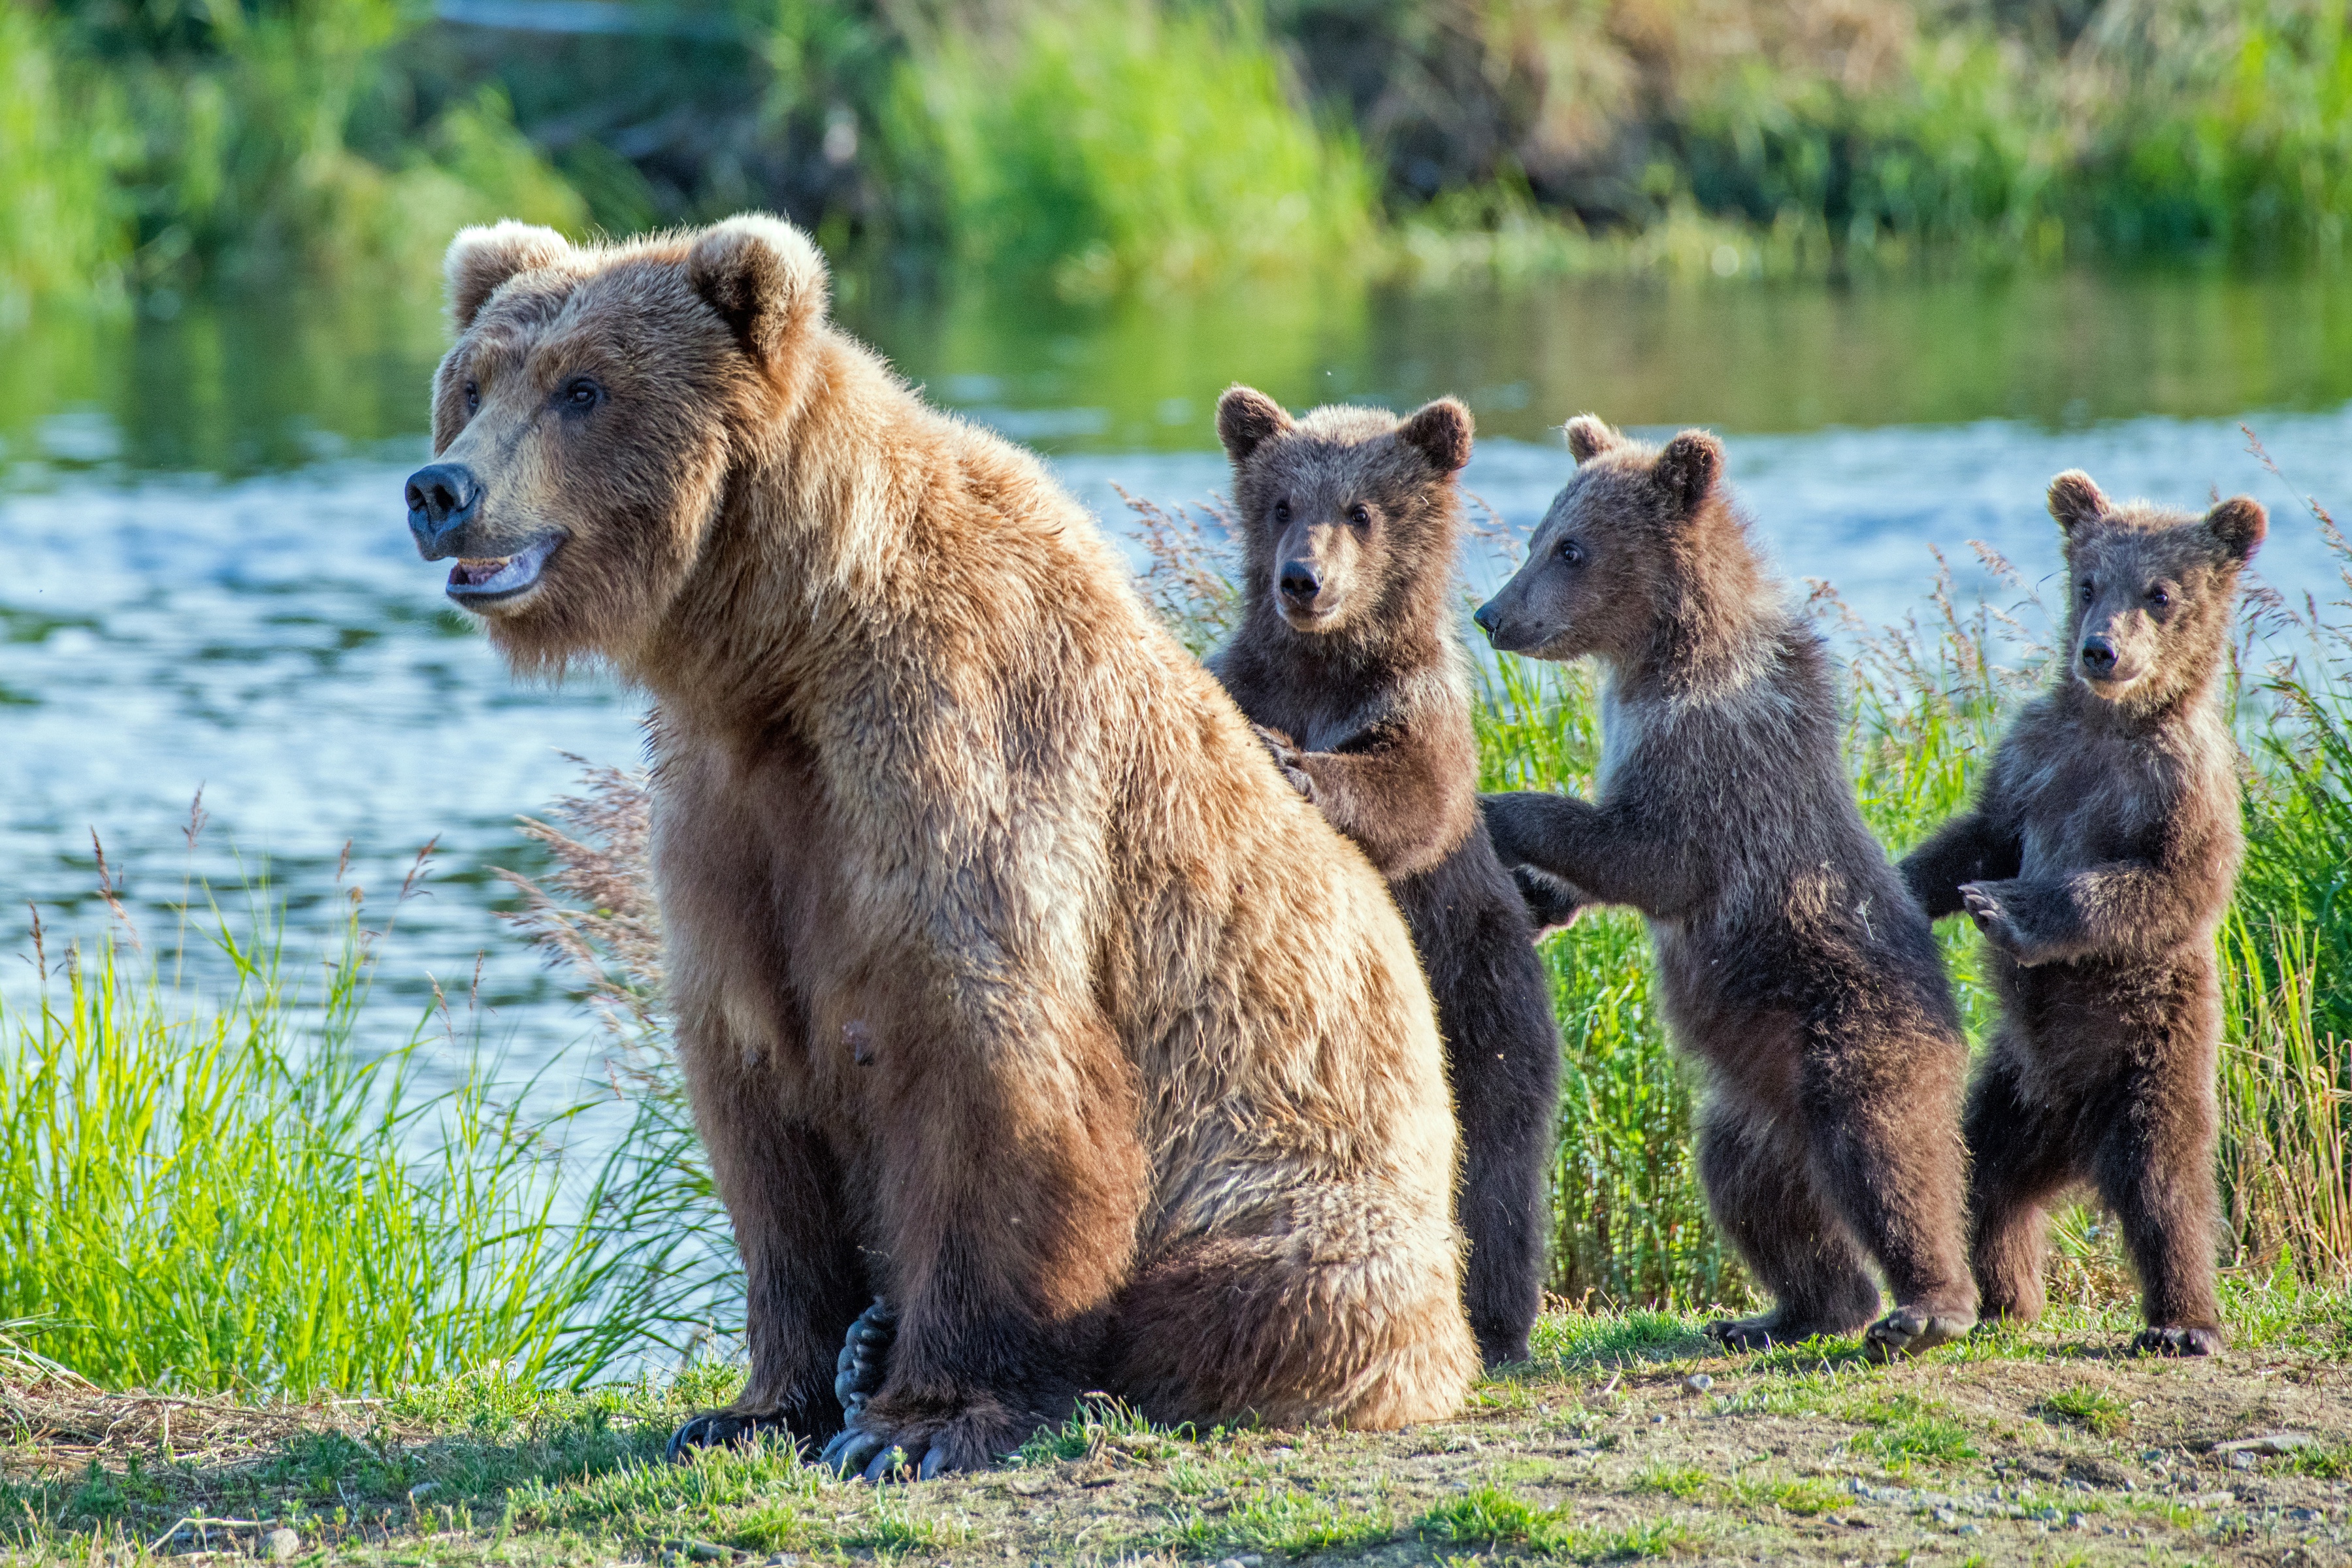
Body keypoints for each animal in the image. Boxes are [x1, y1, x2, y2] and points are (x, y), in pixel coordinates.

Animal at [401, 215, 1479, 1475]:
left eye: (583, 388)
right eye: (474, 384)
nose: (441, 489)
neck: (783, 649)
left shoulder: (956, 751)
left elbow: (991, 1068)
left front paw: (916, 1422)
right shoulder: (728, 817)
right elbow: (753, 1102)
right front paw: (756, 1402)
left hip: (1306, 1179)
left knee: (1253, 1291)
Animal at [1203, 386, 1568, 1369]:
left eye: (1362, 510)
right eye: (1281, 503)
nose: (1302, 580)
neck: (1324, 670)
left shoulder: (1419, 708)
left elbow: (1410, 792)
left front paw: (1294, 764)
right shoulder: (1243, 678)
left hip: (1481, 992)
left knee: (1494, 1154)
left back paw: (1493, 1319)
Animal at [1472, 415, 1978, 1360]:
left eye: (1570, 548)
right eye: (1536, 538)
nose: (1491, 614)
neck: (1659, 655)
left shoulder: (1714, 755)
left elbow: (1648, 856)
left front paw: (1496, 809)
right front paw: (1538, 898)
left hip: (1852, 1028)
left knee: (1889, 1154)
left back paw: (1929, 1307)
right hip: (1750, 1106)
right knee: (1756, 1196)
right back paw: (1786, 1311)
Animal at [1899, 472, 2266, 1356]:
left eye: (2160, 592)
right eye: (2088, 582)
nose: (2100, 650)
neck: (2112, 722)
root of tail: (2075, 1142)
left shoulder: (2183, 784)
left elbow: (2160, 884)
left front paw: (2006, 907)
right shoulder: (2035, 757)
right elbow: (1982, 837)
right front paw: (1907, 881)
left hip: (2150, 1059)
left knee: (2166, 1186)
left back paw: (2183, 1322)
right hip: (2013, 1089)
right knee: (1987, 1179)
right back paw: (2007, 1297)